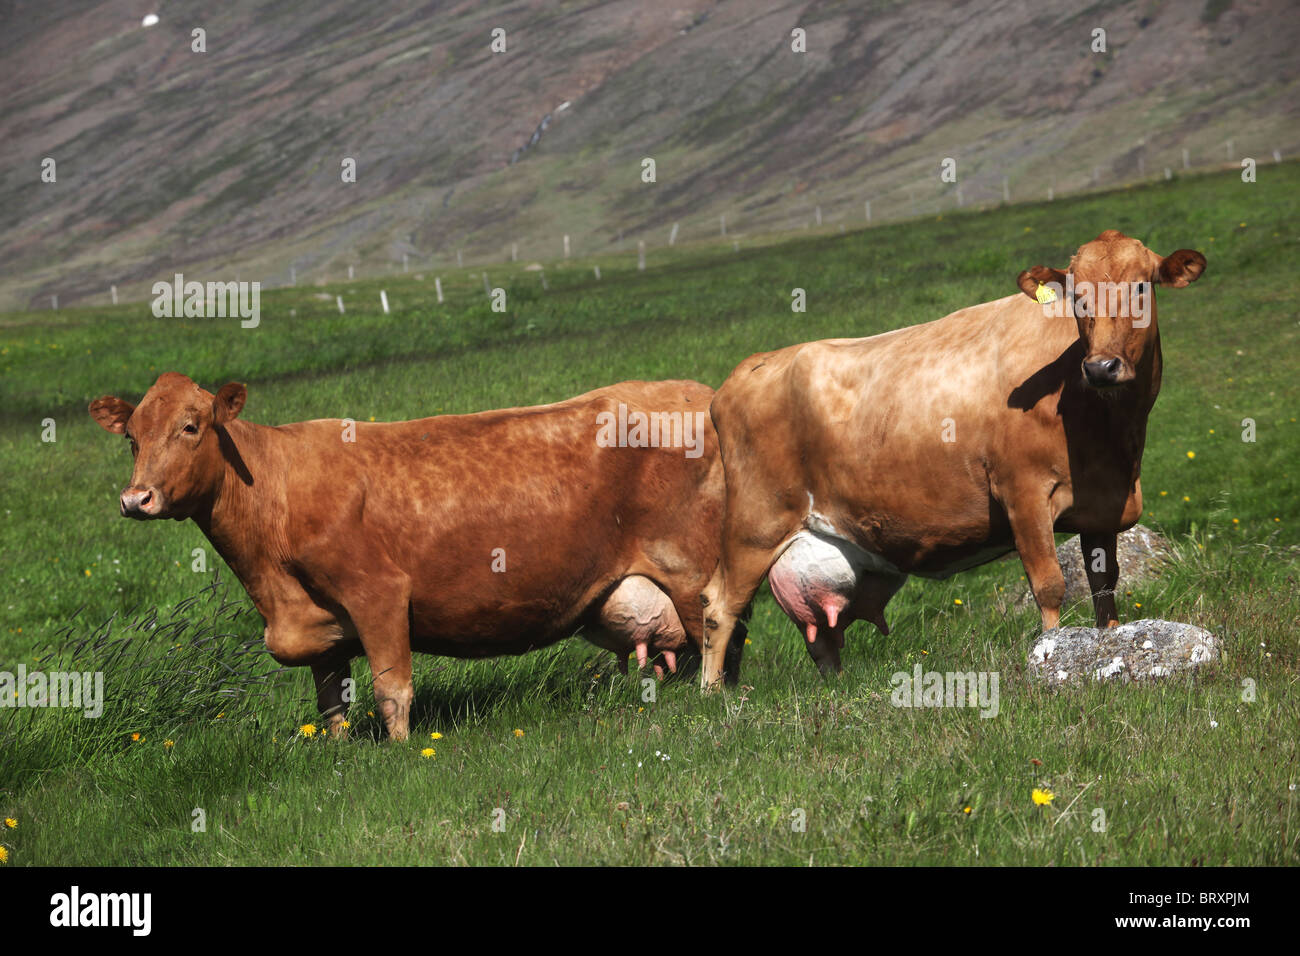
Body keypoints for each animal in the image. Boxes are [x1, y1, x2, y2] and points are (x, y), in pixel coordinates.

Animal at [90, 373, 726, 739]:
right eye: (131, 438)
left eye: (190, 427)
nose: (135, 499)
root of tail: (699, 391)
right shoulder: (321, 630)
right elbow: (331, 706)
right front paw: (339, 757)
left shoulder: (379, 595)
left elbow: (392, 693)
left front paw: (397, 756)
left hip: (692, 568)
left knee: (717, 630)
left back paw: (717, 701)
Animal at [698, 230, 1206, 685]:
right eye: (1077, 298)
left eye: (1141, 287)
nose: (1101, 367)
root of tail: (751, 367)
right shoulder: (1023, 494)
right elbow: (1049, 586)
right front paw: (1051, 655)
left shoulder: (1102, 508)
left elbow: (1105, 586)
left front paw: (1109, 646)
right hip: (753, 527)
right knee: (718, 607)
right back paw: (715, 695)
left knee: (818, 633)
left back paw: (832, 688)